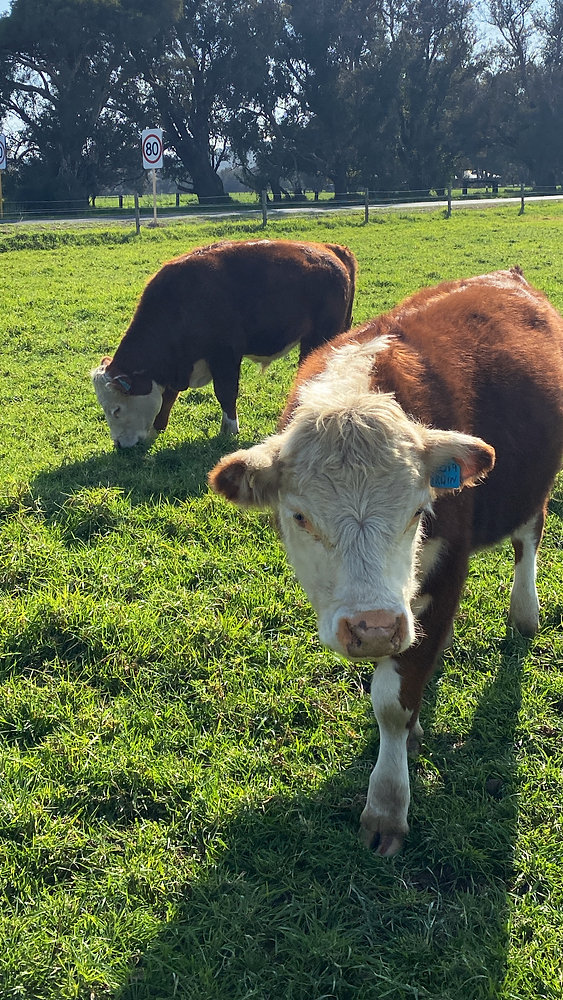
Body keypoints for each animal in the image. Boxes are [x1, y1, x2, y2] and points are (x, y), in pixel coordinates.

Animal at [91, 239, 357, 448]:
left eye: (116, 409)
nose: (119, 445)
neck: (181, 301)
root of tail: (329, 248)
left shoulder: (225, 355)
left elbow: (226, 392)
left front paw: (229, 429)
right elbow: (168, 396)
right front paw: (158, 427)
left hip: (319, 336)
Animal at [209, 268, 563, 856]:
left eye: (420, 509)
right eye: (300, 516)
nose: (373, 627)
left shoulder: (444, 575)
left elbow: (393, 702)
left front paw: (387, 806)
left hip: (534, 486)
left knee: (528, 538)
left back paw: (524, 612)